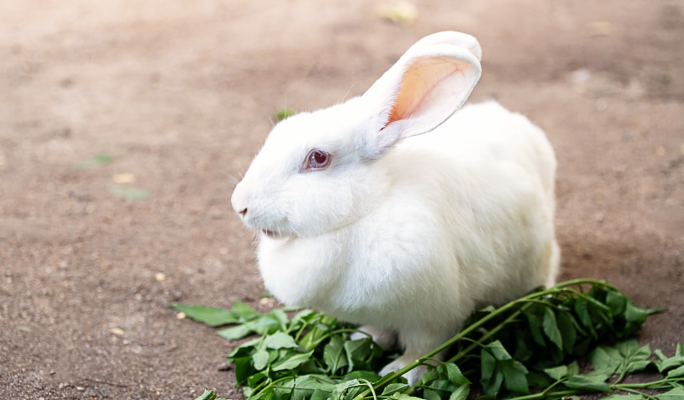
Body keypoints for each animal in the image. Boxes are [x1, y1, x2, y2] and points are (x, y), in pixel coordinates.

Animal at [231, 31, 559, 385]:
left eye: (318, 158)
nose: (240, 205)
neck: (366, 210)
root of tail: (528, 133)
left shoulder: (434, 317)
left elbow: (424, 349)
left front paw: (405, 373)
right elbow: (379, 328)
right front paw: (364, 339)